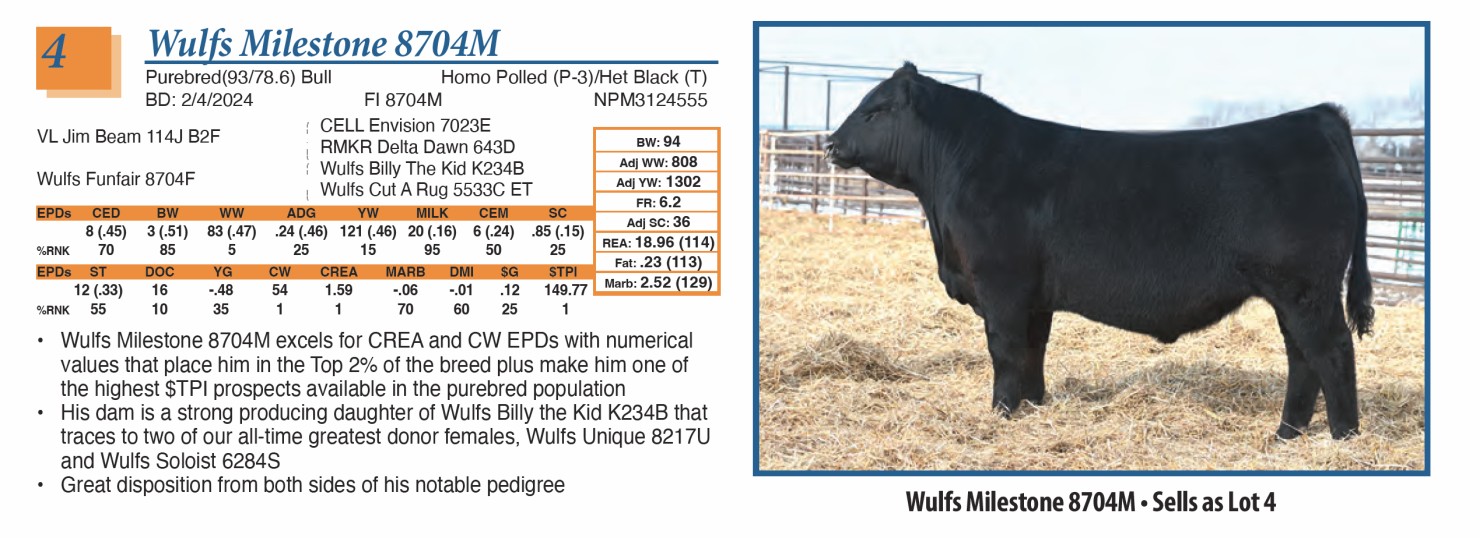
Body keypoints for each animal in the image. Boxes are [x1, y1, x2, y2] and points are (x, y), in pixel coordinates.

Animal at [825, 62, 1374, 440]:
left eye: (876, 109)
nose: (830, 144)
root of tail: (1316, 119)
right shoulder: (1035, 296)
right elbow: (1034, 350)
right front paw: (1035, 407)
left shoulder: (1001, 285)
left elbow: (1004, 350)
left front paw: (1001, 413)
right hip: (1292, 294)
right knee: (1302, 356)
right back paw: (1287, 435)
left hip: (1305, 288)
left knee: (1331, 351)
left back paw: (1343, 437)